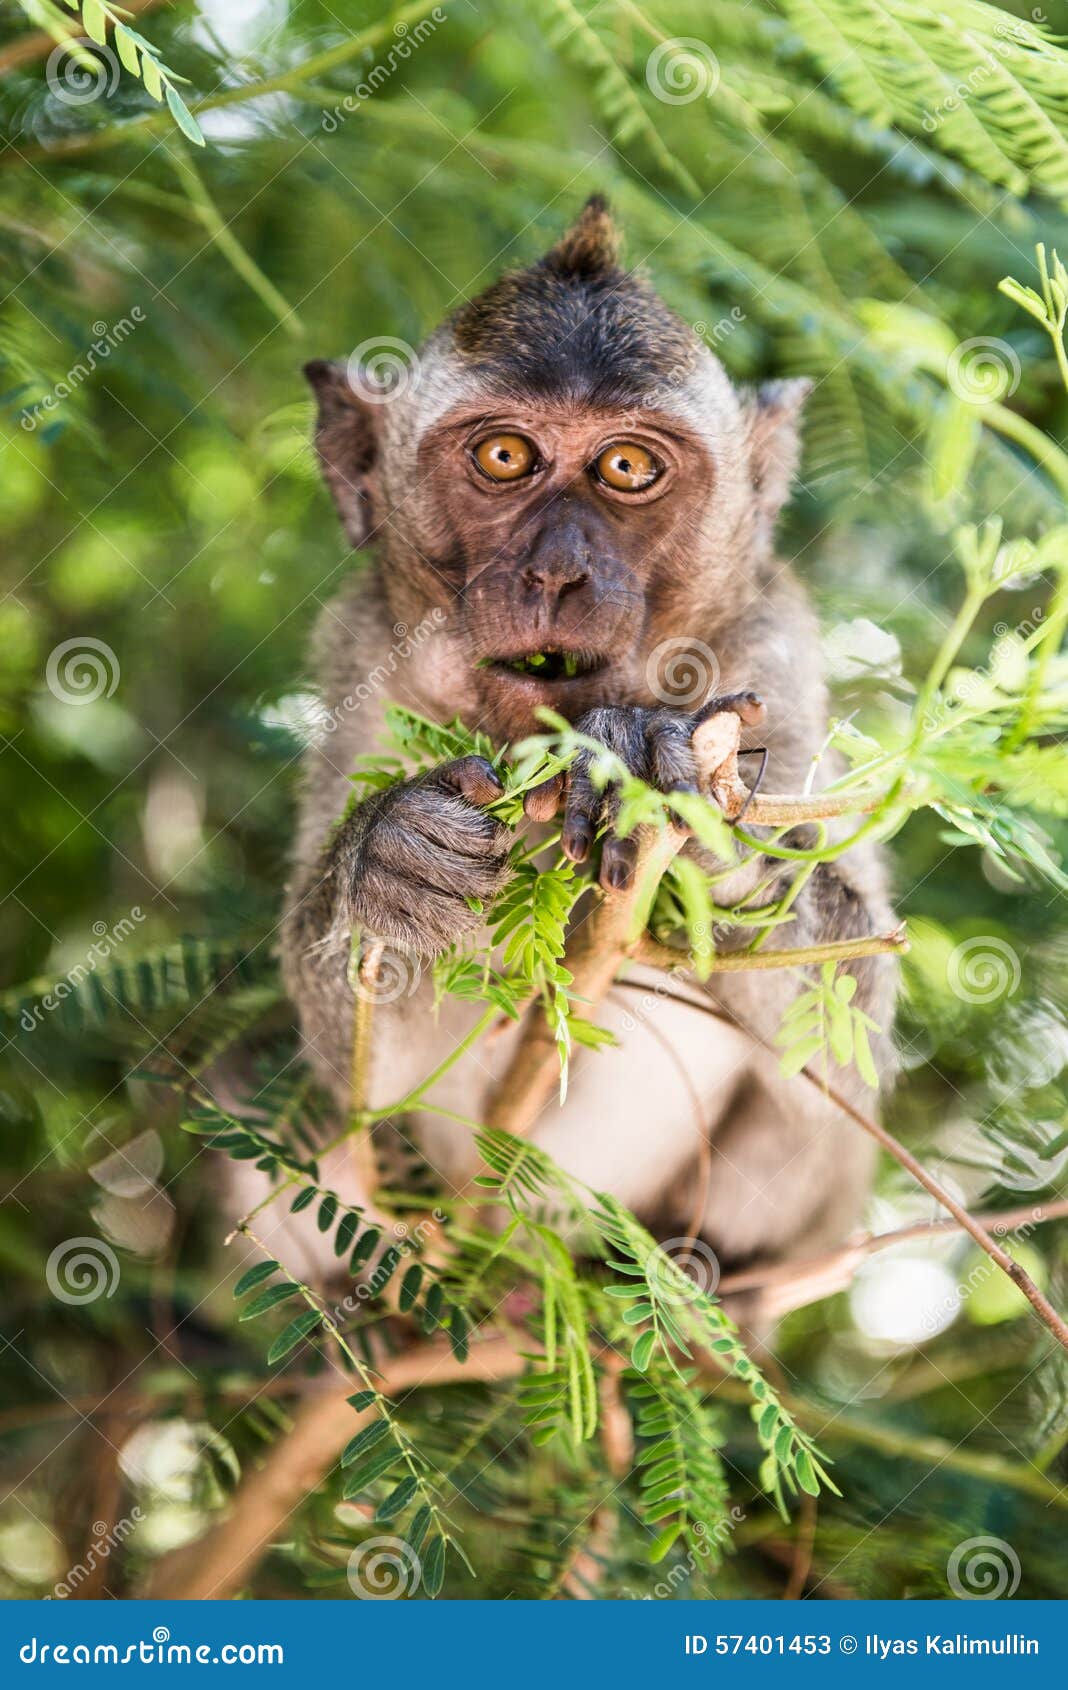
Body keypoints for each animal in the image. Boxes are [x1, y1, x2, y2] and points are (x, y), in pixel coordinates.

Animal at [233, 197, 898, 1310]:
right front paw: (389, 861)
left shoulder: (774, 649)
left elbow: (853, 1027)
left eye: (628, 467)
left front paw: (688, 806)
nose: (558, 570)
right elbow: (354, 1075)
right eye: (506, 456)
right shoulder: (362, 656)